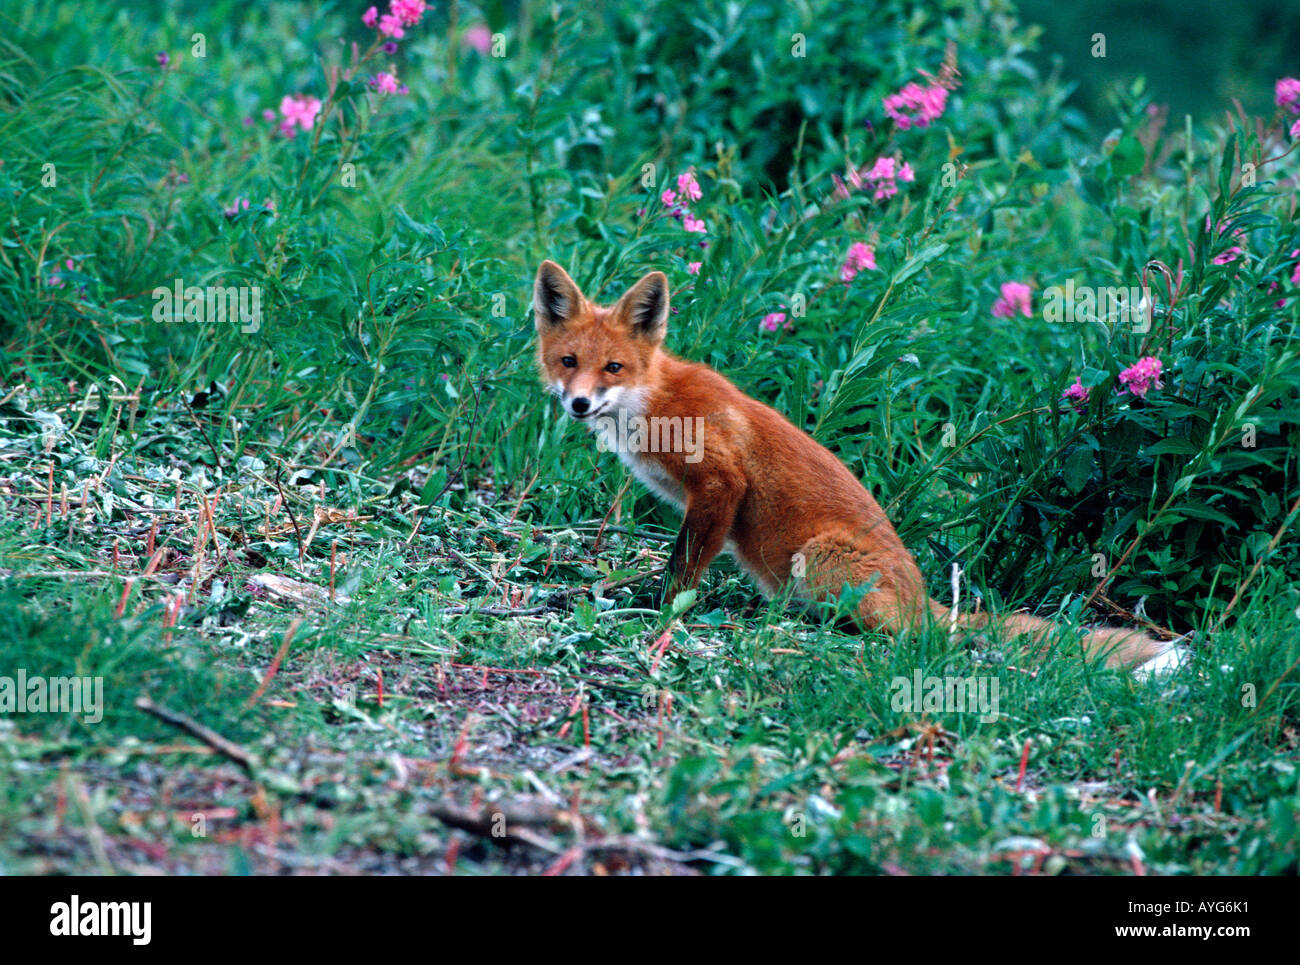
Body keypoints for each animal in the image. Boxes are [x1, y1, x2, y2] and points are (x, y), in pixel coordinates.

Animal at [534, 259, 1183, 672]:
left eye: (613, 367)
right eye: (568, 362)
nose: (579, 404)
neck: (652, 401)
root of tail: (925, 596)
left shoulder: (720, 481)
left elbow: (682, 571)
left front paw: (658, 611)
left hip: (819, 558)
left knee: (919, 639)